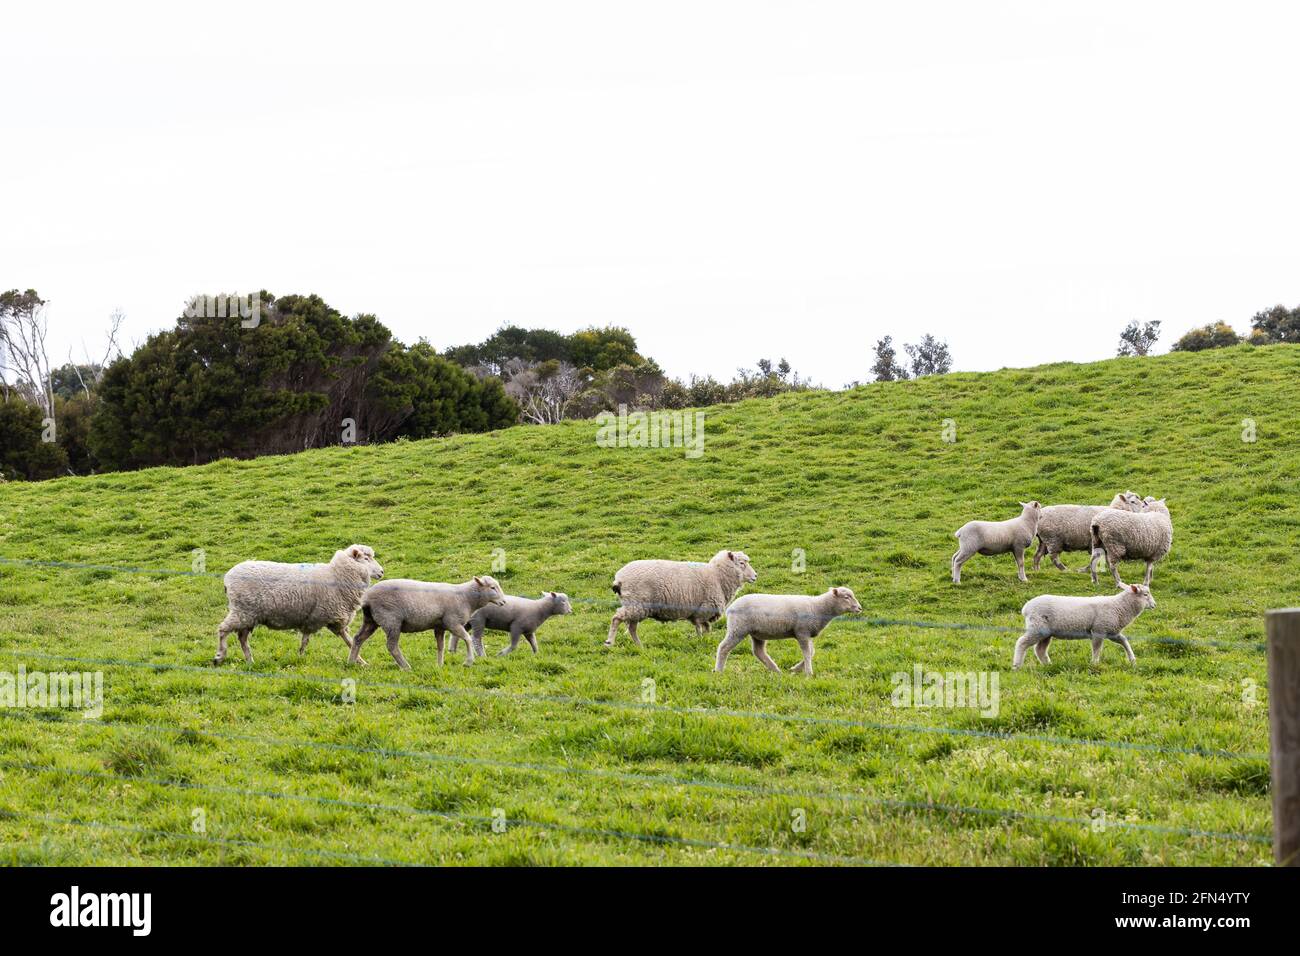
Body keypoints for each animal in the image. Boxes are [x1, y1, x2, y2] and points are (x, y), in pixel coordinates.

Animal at [214, 544, 384, 665]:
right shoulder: (328, 616)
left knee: (242, 638)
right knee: (223, 629)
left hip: (248, 615)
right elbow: (345, 640)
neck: (336, 575)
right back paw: (219, 656)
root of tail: (227, 578)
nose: (382, 572)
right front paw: (361, 661)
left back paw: (250, 661)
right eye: (366, 558)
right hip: (242, 611)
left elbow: (311, 640)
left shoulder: (320, 618)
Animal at [349, 575, 506, 669]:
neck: (466, 598)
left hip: (371, 620)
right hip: (391, 620)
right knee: (392, 646)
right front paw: (468, 661)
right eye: (492, 587)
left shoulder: (440, 626)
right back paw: (406, 666)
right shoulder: (453, 623)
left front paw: (440, 665)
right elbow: (467, 638)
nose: (504, 602)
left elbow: (440, 646)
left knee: (358, 638)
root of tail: (367, 597)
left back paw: (352, 662)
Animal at [606, 550, 757, 647]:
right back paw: (609, 643)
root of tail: (619, 578)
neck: (718, 576)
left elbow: (705, 627)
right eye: (742, 563)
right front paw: (701, 641)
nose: (755, 576)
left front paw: (706, 640)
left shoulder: (701, 612)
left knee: (631, 627)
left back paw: (639, 646)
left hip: (637, 606)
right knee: (617, 618)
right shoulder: (704, 609)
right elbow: (700, 627)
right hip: (637, 604)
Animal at [713, 587, 862, 676]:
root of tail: (730, 607)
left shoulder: (807, 633)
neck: (818, 607)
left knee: (759, 652)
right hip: (738, 629)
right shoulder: (802, 631)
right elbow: (807, 653)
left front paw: (795, 669)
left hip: (756, 633)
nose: (860, 608)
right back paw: (719, 670)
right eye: (846, 597)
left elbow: (812, 652)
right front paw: (809, 672)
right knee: (724, 647)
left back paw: (776, 670)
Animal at [1013, 583, 1156, 668]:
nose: (1154, 605)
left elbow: (1124, 641)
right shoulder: (1099, 630)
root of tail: (1026, 608)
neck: (1120, 606)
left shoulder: (1111, 632)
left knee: (1040, 650)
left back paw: (1048, 665)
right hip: (1037, 628)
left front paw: (1132, 660)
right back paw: (1017, 666)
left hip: (1045, 633)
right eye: (1145, 594)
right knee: (1022, 642)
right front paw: (1094, 664)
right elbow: (1097, 648)